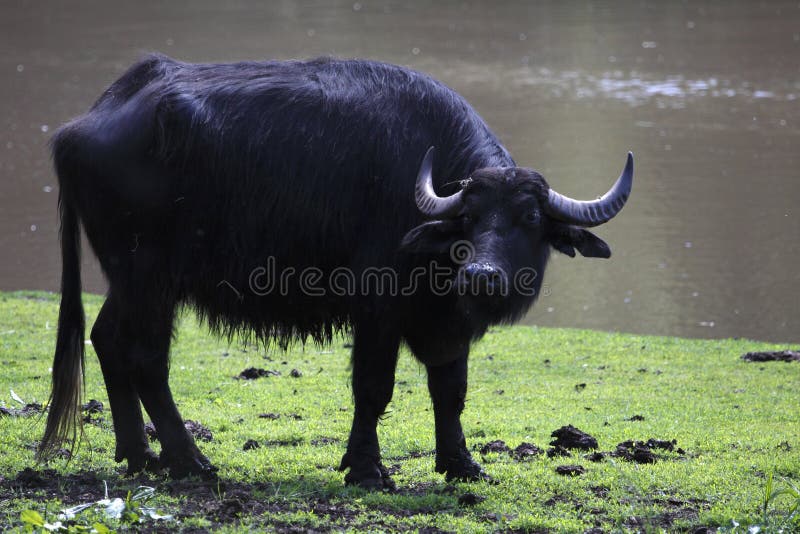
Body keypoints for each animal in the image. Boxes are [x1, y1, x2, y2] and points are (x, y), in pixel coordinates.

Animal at [40, 55, 633, 489]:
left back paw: (139, 454)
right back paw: (191, 461)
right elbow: (374, 388)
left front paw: (461, 465)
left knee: (106, 337)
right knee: (144, 357)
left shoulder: (446, 322)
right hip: (150, 276)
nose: (482, 276)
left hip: (128, 278)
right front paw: (367, 469)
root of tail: (80, 128)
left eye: (529, 217)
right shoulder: (377, 309)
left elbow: (450, 389)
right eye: (468, 218)